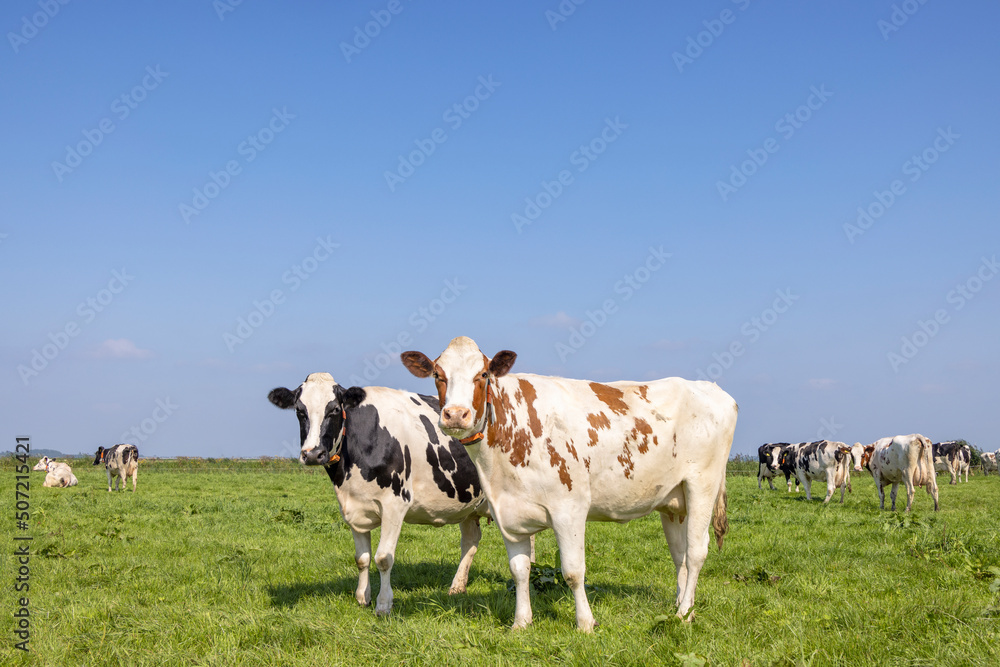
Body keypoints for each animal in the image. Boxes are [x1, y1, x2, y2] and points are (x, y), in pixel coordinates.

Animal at [268, 372, 490, 616]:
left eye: (334, 409)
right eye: (299, 410)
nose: (313, 454)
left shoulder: (395, 505)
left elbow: (383, 558)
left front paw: (383, 605)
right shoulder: (352, 507)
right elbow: (361, 559)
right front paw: (362, 597)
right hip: (469, 505)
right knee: (470, 541)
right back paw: (457, 588)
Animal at [402, 336, 738, 631]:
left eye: (483, 374)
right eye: (437, 374)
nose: (456, 414)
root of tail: (711, 389)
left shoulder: (570, 508)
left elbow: (574, 571)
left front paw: (586, 624)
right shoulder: (507, 510)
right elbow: (520, 571)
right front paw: (521, 622)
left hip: (702, 485)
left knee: (696, 552)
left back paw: (683, 615)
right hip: (673, 500)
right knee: (680, 555)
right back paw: (684, 606)